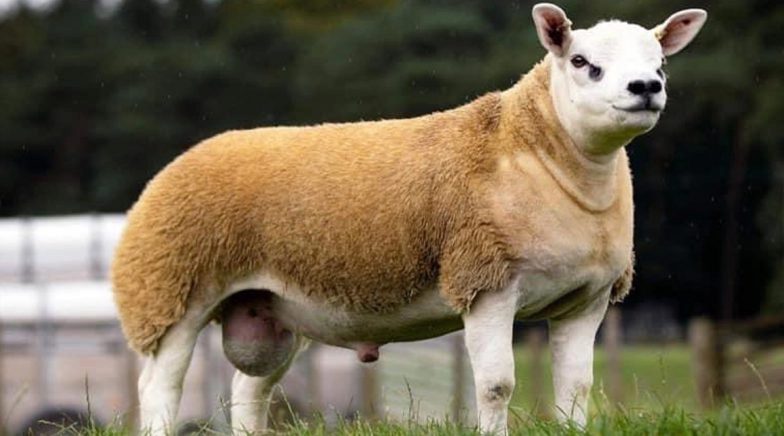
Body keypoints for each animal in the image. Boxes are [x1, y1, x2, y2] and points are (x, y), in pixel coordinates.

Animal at [111, 3, 707, 435]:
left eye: (661, 62)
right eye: (582, 62)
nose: (646, 88)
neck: (541, 154)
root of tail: (177, 164)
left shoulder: (587, 300)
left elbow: (576, 390)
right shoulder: (485, 279)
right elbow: (496, 386)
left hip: (271, 310)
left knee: (249, 392)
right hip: (170, 290)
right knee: (159, 389)